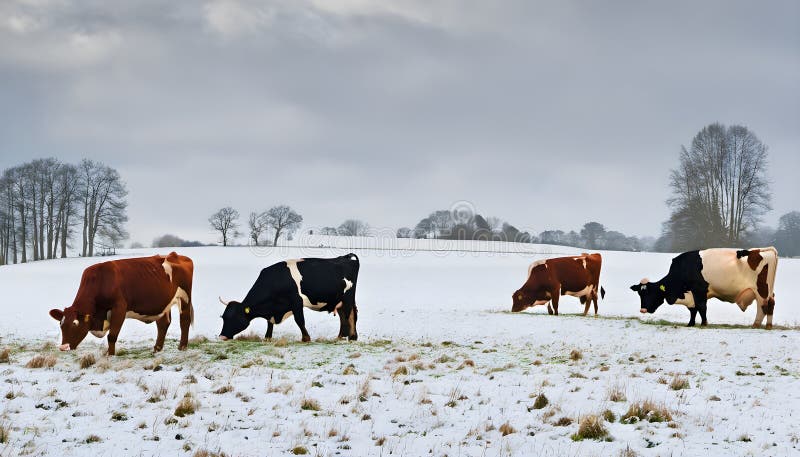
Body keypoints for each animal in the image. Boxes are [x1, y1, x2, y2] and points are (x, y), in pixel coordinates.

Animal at [48, 252, 194, 355]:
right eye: (61, 324)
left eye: (75, 323)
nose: (63, 347)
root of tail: (175, 255)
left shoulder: (119, 308)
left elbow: (112, 336)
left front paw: (110, 355)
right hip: (163, 303)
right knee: (163, 324)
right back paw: (156, 349)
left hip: (185, 297)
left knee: (184, 321)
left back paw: (182, 347)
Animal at [218, 253, 360, 342]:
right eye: (223, 317)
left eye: (235, 317)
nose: (222, 337)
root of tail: (346, 257)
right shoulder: (272, 309)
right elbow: (269, 323)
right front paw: (267, 337)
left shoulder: (297, 302)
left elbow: (300, 321)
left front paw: (306, 338)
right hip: (338, 300)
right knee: (345, 315)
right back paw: (345, 336)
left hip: (347, 297)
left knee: (348, 315)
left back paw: (348, 337)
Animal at [630, 247, 778, 328]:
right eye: (640, 294)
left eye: (650, 292)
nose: (642, 310)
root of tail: (758, 250)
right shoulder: (691, 293)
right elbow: (693, 309)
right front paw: (690, 323)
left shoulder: (699, 290)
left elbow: (701, 307)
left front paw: (704, 323)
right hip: (769, 291)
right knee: (770, 305)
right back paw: (768, 326)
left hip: (761, 291)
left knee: (763, 306)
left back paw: (756, 325)